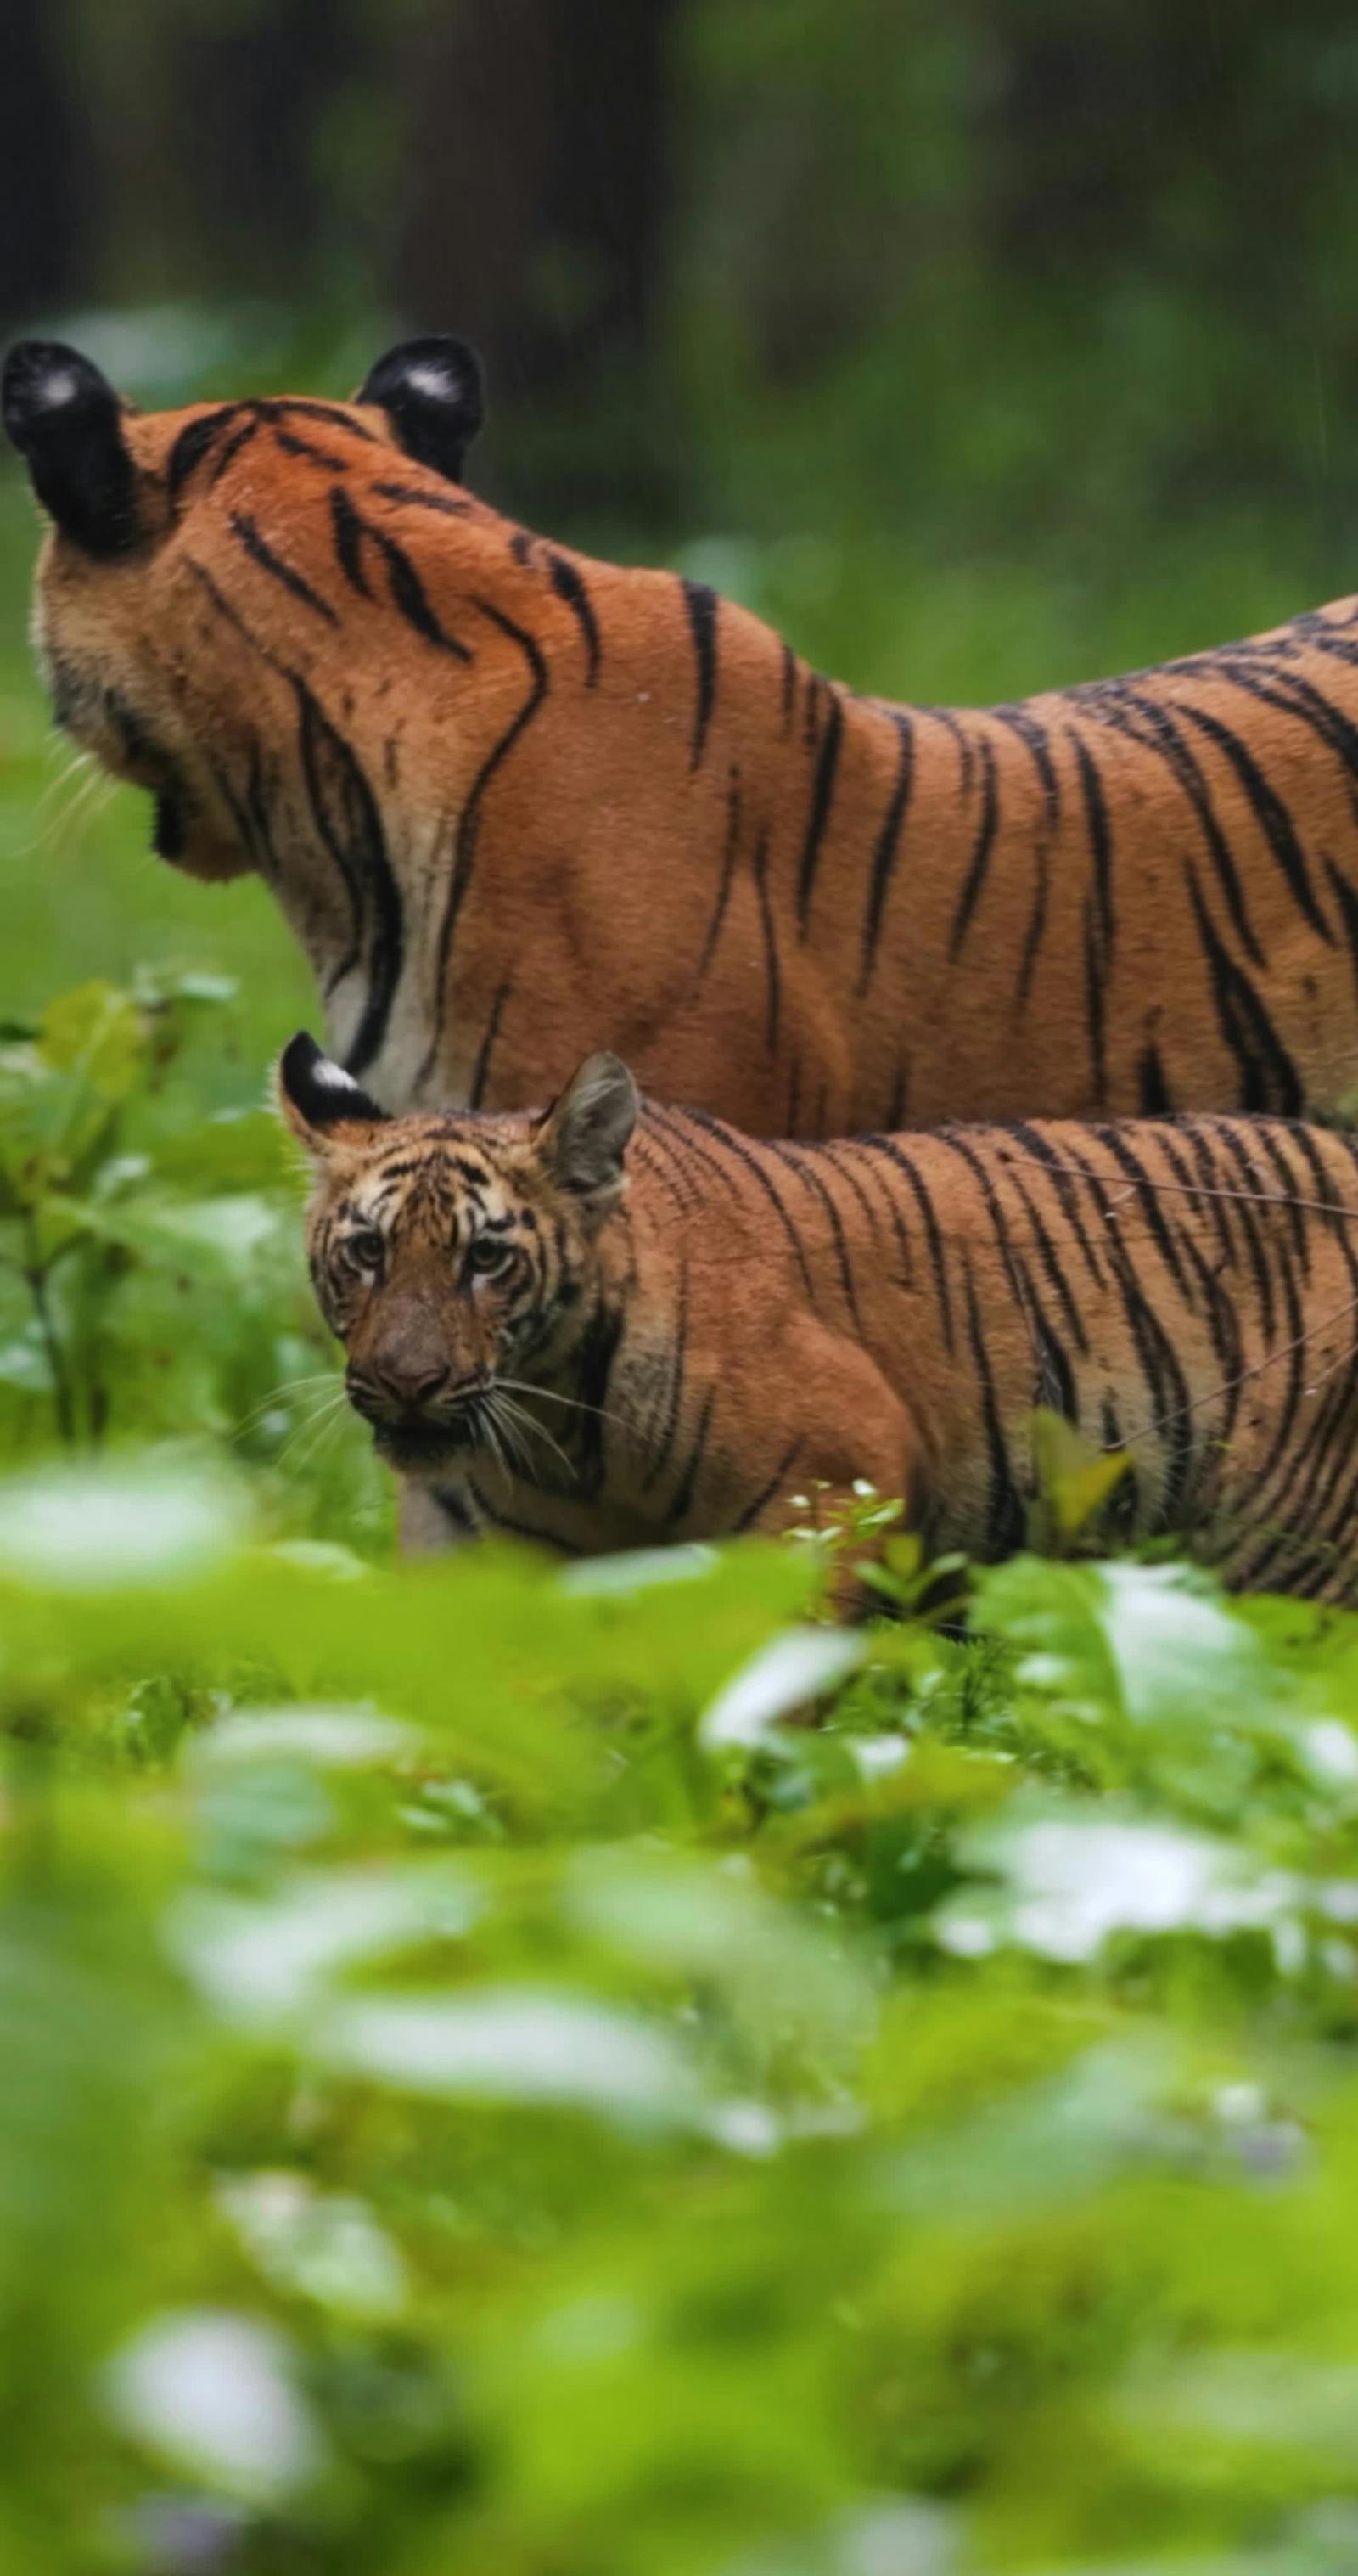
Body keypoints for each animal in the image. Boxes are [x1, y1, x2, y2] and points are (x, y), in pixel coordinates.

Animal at [277, 1029, 1358, 1605]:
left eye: (485, 1259)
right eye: (367, 1252)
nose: (406, 1382)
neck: (559, 1425)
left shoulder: (844, 1487)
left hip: (1286, 1554)